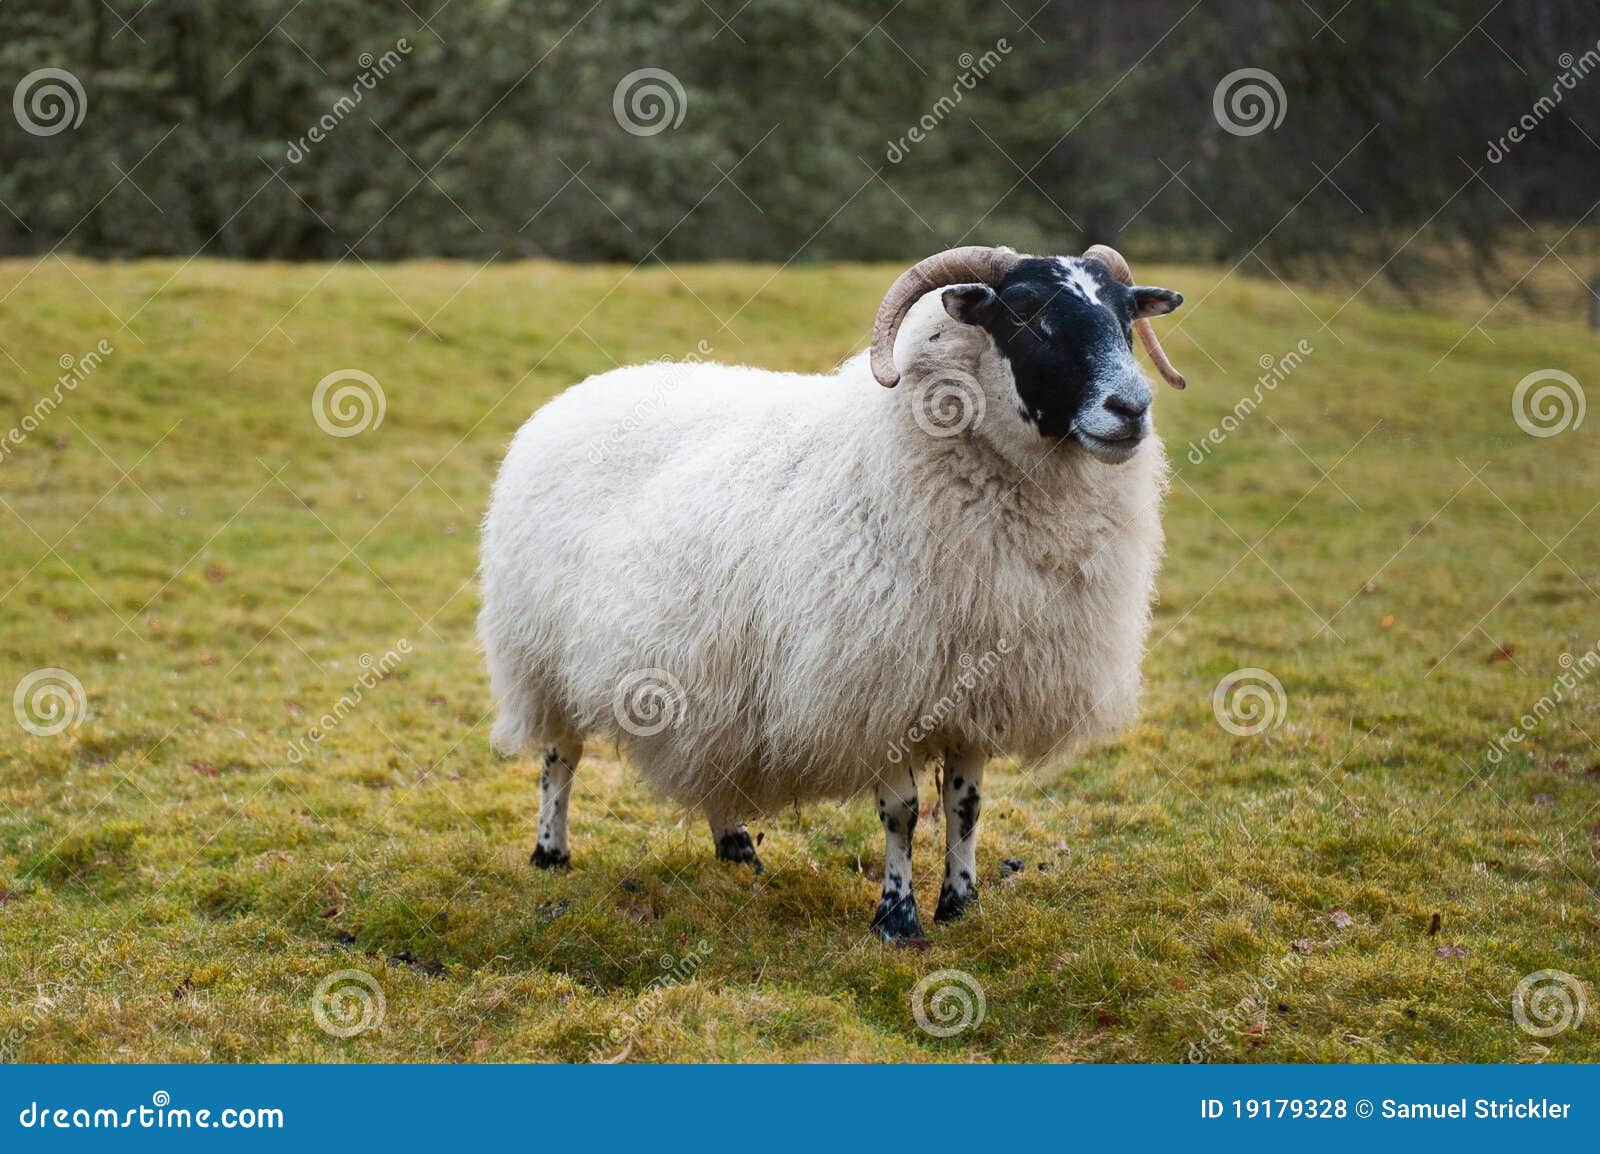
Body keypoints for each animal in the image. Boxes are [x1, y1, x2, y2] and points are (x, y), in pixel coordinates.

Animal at [478, 245, 1186, 939]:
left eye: (1125, 318)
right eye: (1028, 317)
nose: (1133, 409)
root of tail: (581, 392)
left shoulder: (976, 686)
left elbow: (965, 806)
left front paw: (961, 903)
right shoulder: (878, 685)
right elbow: (902, 811)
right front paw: (897, 917)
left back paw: (737, 849)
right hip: (540, 651)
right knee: (560, 758)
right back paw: (551, 853)